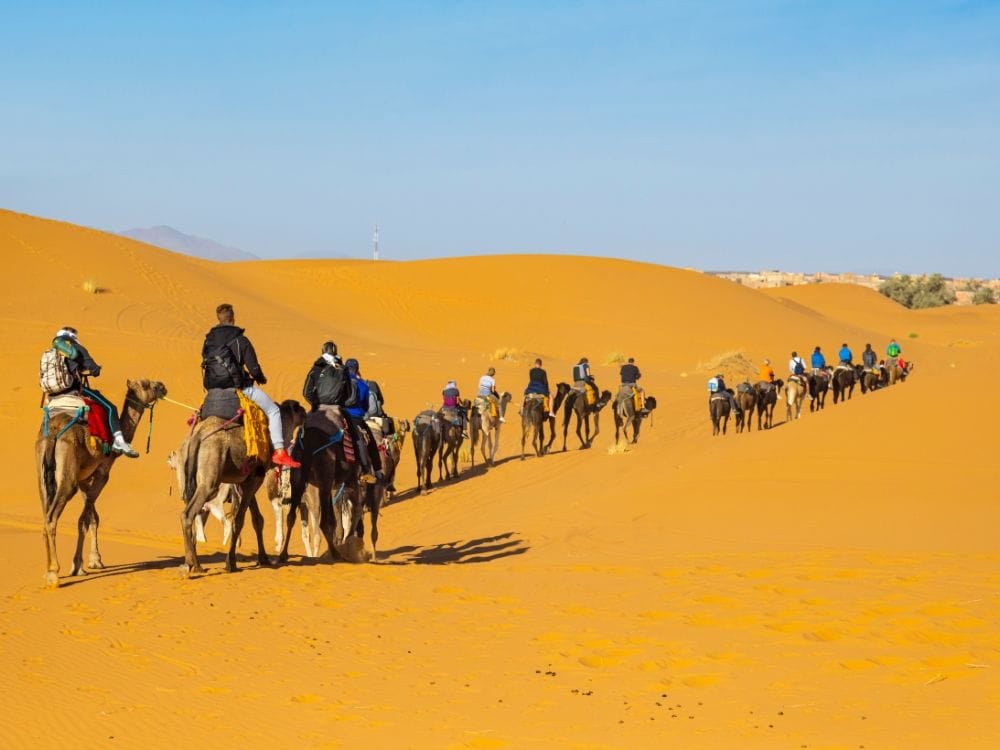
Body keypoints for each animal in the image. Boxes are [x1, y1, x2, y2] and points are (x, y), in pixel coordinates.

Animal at [36, 378, 168, 587]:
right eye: (147, 385)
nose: (162, 386)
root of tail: (53, 433)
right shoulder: (102, 473)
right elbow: (85, 519)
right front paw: (79, 566)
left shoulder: (84, 478)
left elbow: (92, 517)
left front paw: (93, 560)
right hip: (67, 477)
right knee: (51, 517)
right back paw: (53, 573)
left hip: (42, 471)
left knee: (45, 512)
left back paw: (47, 570)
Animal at [178, 397, 305, 576]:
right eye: (298, 408)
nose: (306, 412)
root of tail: (197, 436)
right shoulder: (255, 478)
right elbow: (239, 520)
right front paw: (231, 563)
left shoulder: (247, 480)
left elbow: (257, 519)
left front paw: (264, 558)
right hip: (210, 479)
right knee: (188, 513)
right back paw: (195, 566)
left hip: (189, 476)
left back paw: (190, 562)